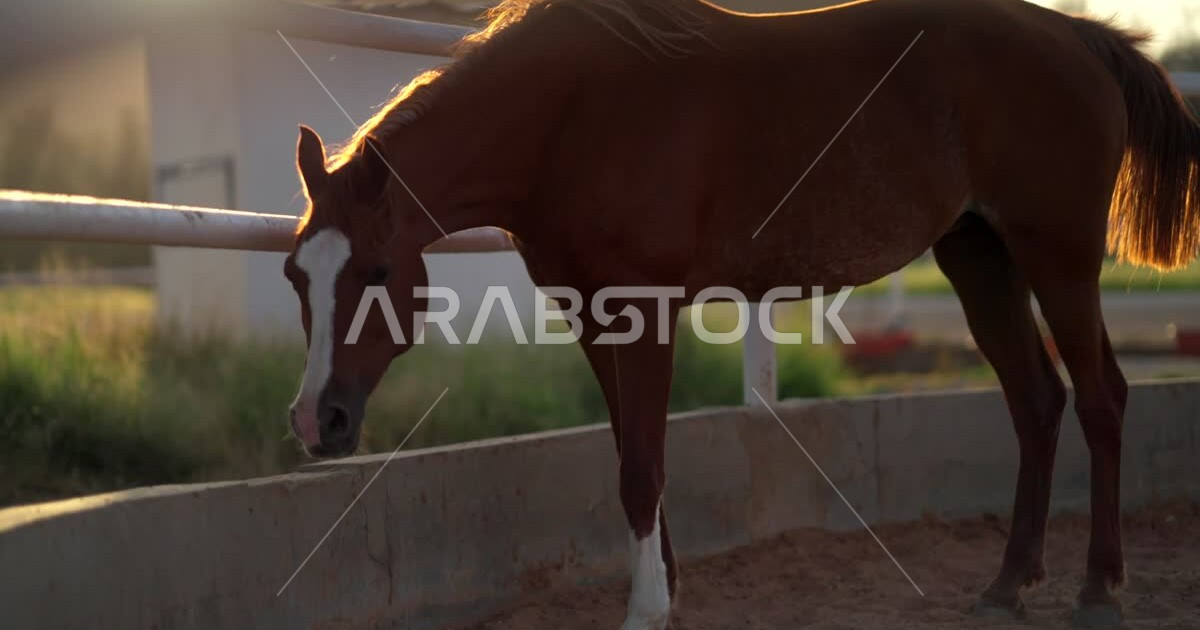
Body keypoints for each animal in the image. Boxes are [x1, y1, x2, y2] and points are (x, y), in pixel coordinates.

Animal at [283, 0, 1200, 626]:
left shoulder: (644, 307)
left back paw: (1099, 588)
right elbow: (631, 454)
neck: (568, 116)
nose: (315, 421)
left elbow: (642, 465)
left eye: (374, 269)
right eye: (296, 274)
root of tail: (1079, 37)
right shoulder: (594, 314)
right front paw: (669, 593)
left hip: (1059, 258)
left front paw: (647, 610)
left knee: (1102, 398)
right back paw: (1008, 585)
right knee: (1037, 401)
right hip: (979, 256)